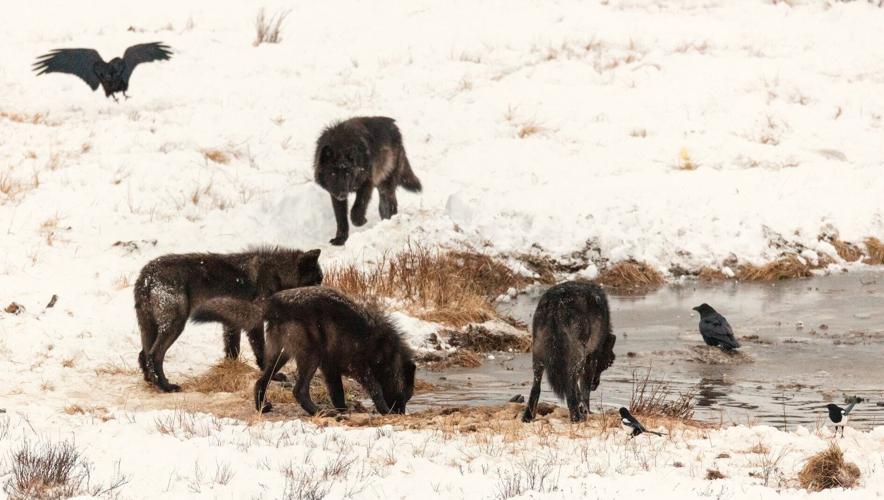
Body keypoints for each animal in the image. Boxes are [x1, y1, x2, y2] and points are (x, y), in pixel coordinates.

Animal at [134, 247, 323, 392]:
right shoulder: (254, 320)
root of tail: (147, 274)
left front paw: (231, 370)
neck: (277, 274)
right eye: (316, 282)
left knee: (143, 353)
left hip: (151, 327)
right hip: (175, 325)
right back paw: (165, 386)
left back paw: (151, 381)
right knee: (154, 355)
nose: (323, 299)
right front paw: (273, 375)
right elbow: (261, 351)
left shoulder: (231, 323)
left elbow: (233, 350)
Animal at [193, 286, 416, 416]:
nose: (401, 413)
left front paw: (344, 409)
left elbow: (337, 392)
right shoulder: (359, 367)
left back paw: (263, 407)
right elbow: (376, 388)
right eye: (406, 396)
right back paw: (319, 412)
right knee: (298, 390)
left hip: (281, 355)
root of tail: (273, 303)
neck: (388, 354)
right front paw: (384, 411)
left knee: (260, 382)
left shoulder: (330, 368)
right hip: (310, 357)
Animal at [314, 116, 422, 245]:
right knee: (384, 207)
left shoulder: (367, 183)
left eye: (347, 174)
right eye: (333, 174)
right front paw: (340, 239)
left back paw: (388, 223)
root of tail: (395, 127)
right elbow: (340, 218)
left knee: (390, 205)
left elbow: (357, 207)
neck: (340, 143)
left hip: (386, 186)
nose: (343, 193)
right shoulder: (335, 194)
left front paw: (360, 221)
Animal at [522, 281, 617, 423]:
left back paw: (528, 417)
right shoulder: (591, 357)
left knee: (536, 388)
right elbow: (584, 389)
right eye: (607, 365)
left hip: (538, 355)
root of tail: (557, 301)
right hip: (578, 357)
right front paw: (586, 410)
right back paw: (576, 417)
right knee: (569, 386)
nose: (595, 385)